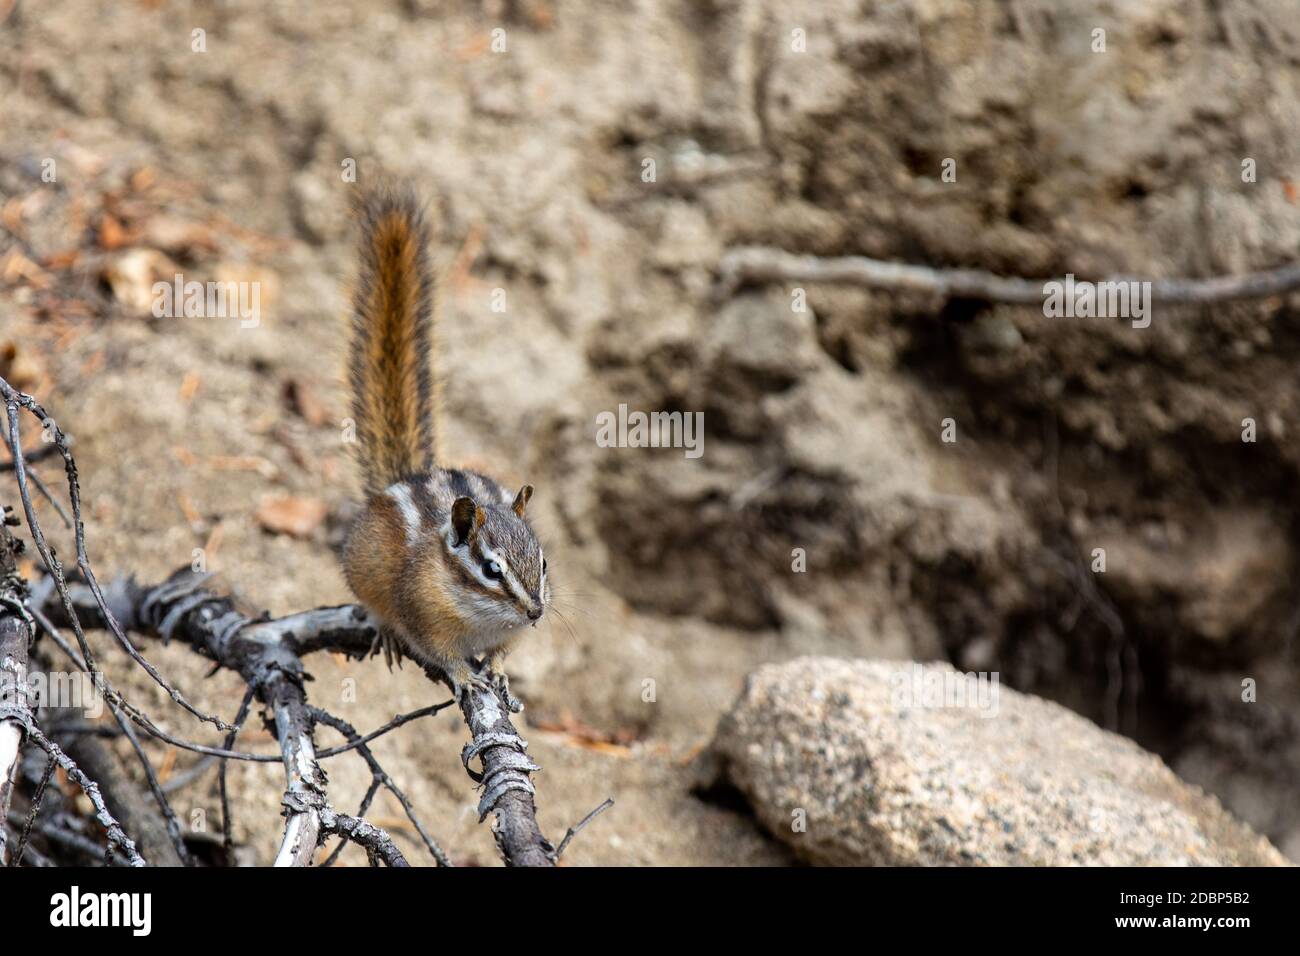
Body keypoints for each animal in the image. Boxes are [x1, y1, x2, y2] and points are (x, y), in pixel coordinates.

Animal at [340, 186, 546, 712]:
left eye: (543, 562)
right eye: (491, 569)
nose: (537, 613)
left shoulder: (511, 634)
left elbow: (503, 653)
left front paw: (498, 670)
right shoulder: (421, 615)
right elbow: (440, 652)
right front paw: (465, 676)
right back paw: (384, 631)